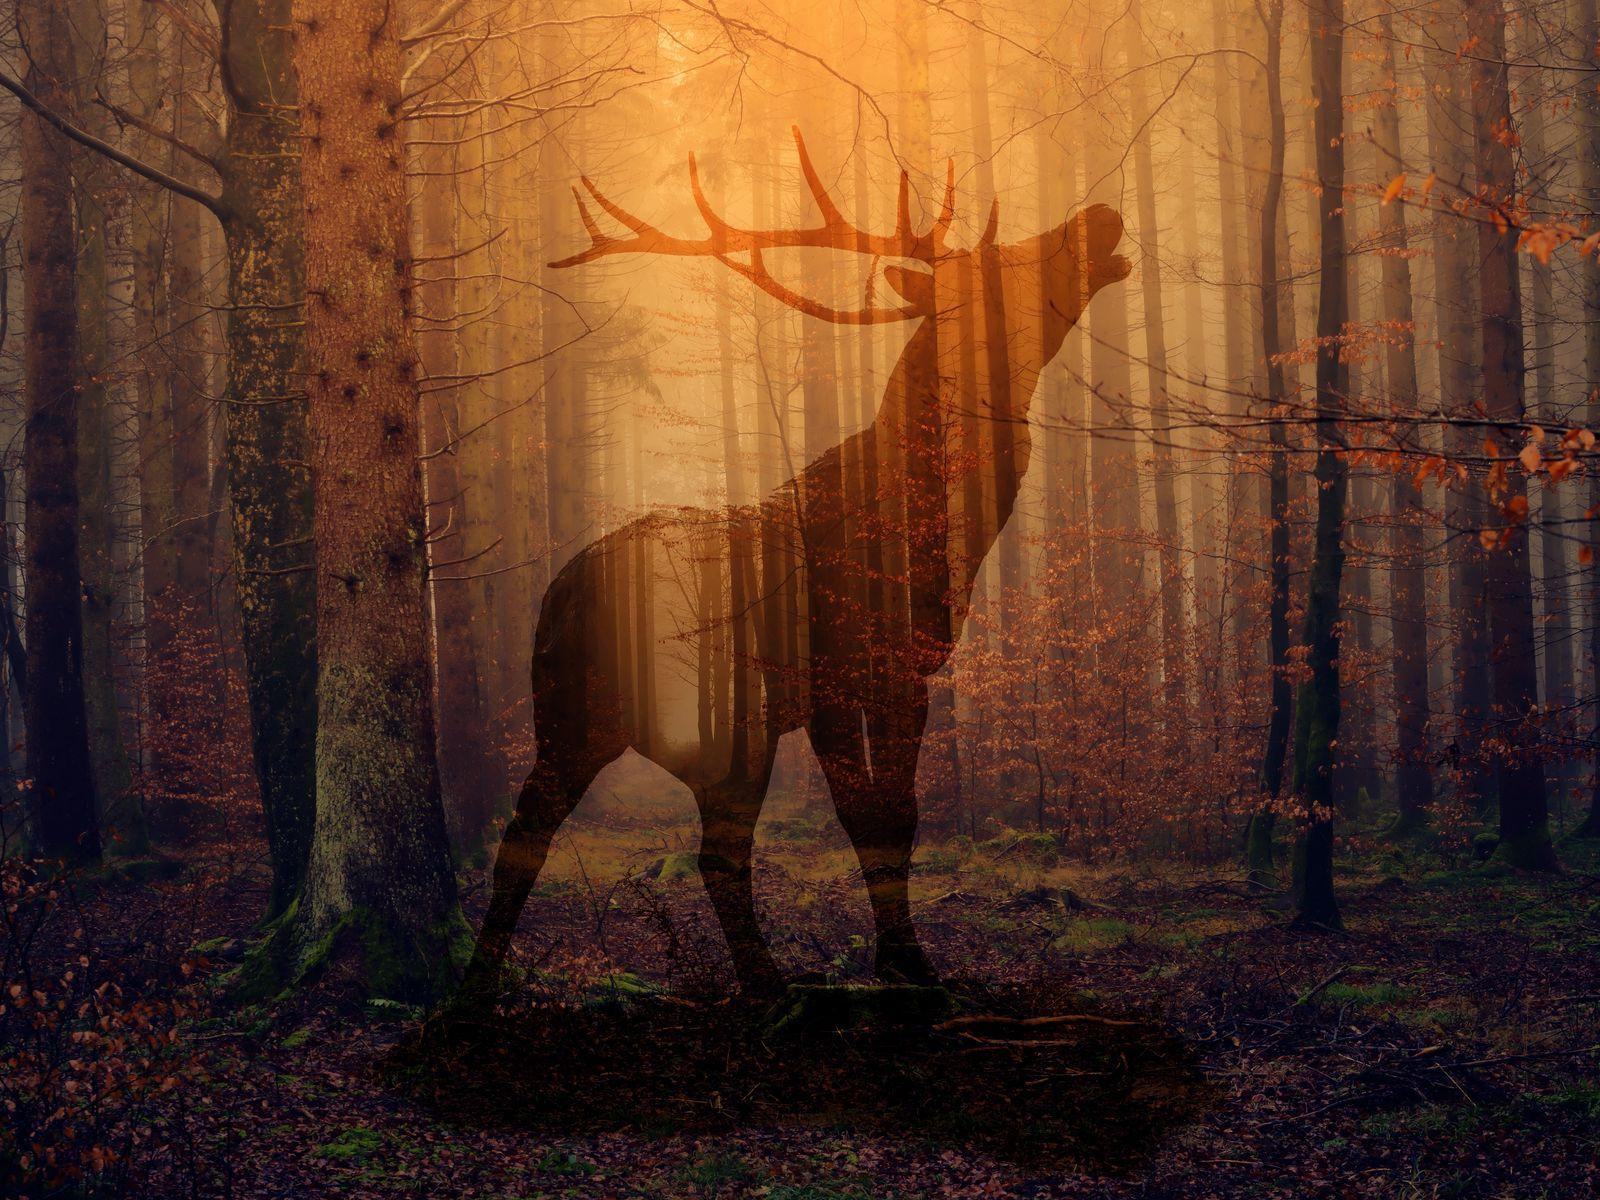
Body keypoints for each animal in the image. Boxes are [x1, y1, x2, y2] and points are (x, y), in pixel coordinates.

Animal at [467, 128, 1130, 996]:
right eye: (1006, 262)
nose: (1104, 213)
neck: (927, 528)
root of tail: (559, 593)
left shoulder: (897, 673)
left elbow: (891, 820)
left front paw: (900, 961)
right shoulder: (849, 672)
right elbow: (879, 818)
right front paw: (908, 968)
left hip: (599, 717)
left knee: (601, 837)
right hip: (670, 715)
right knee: (636, 841)